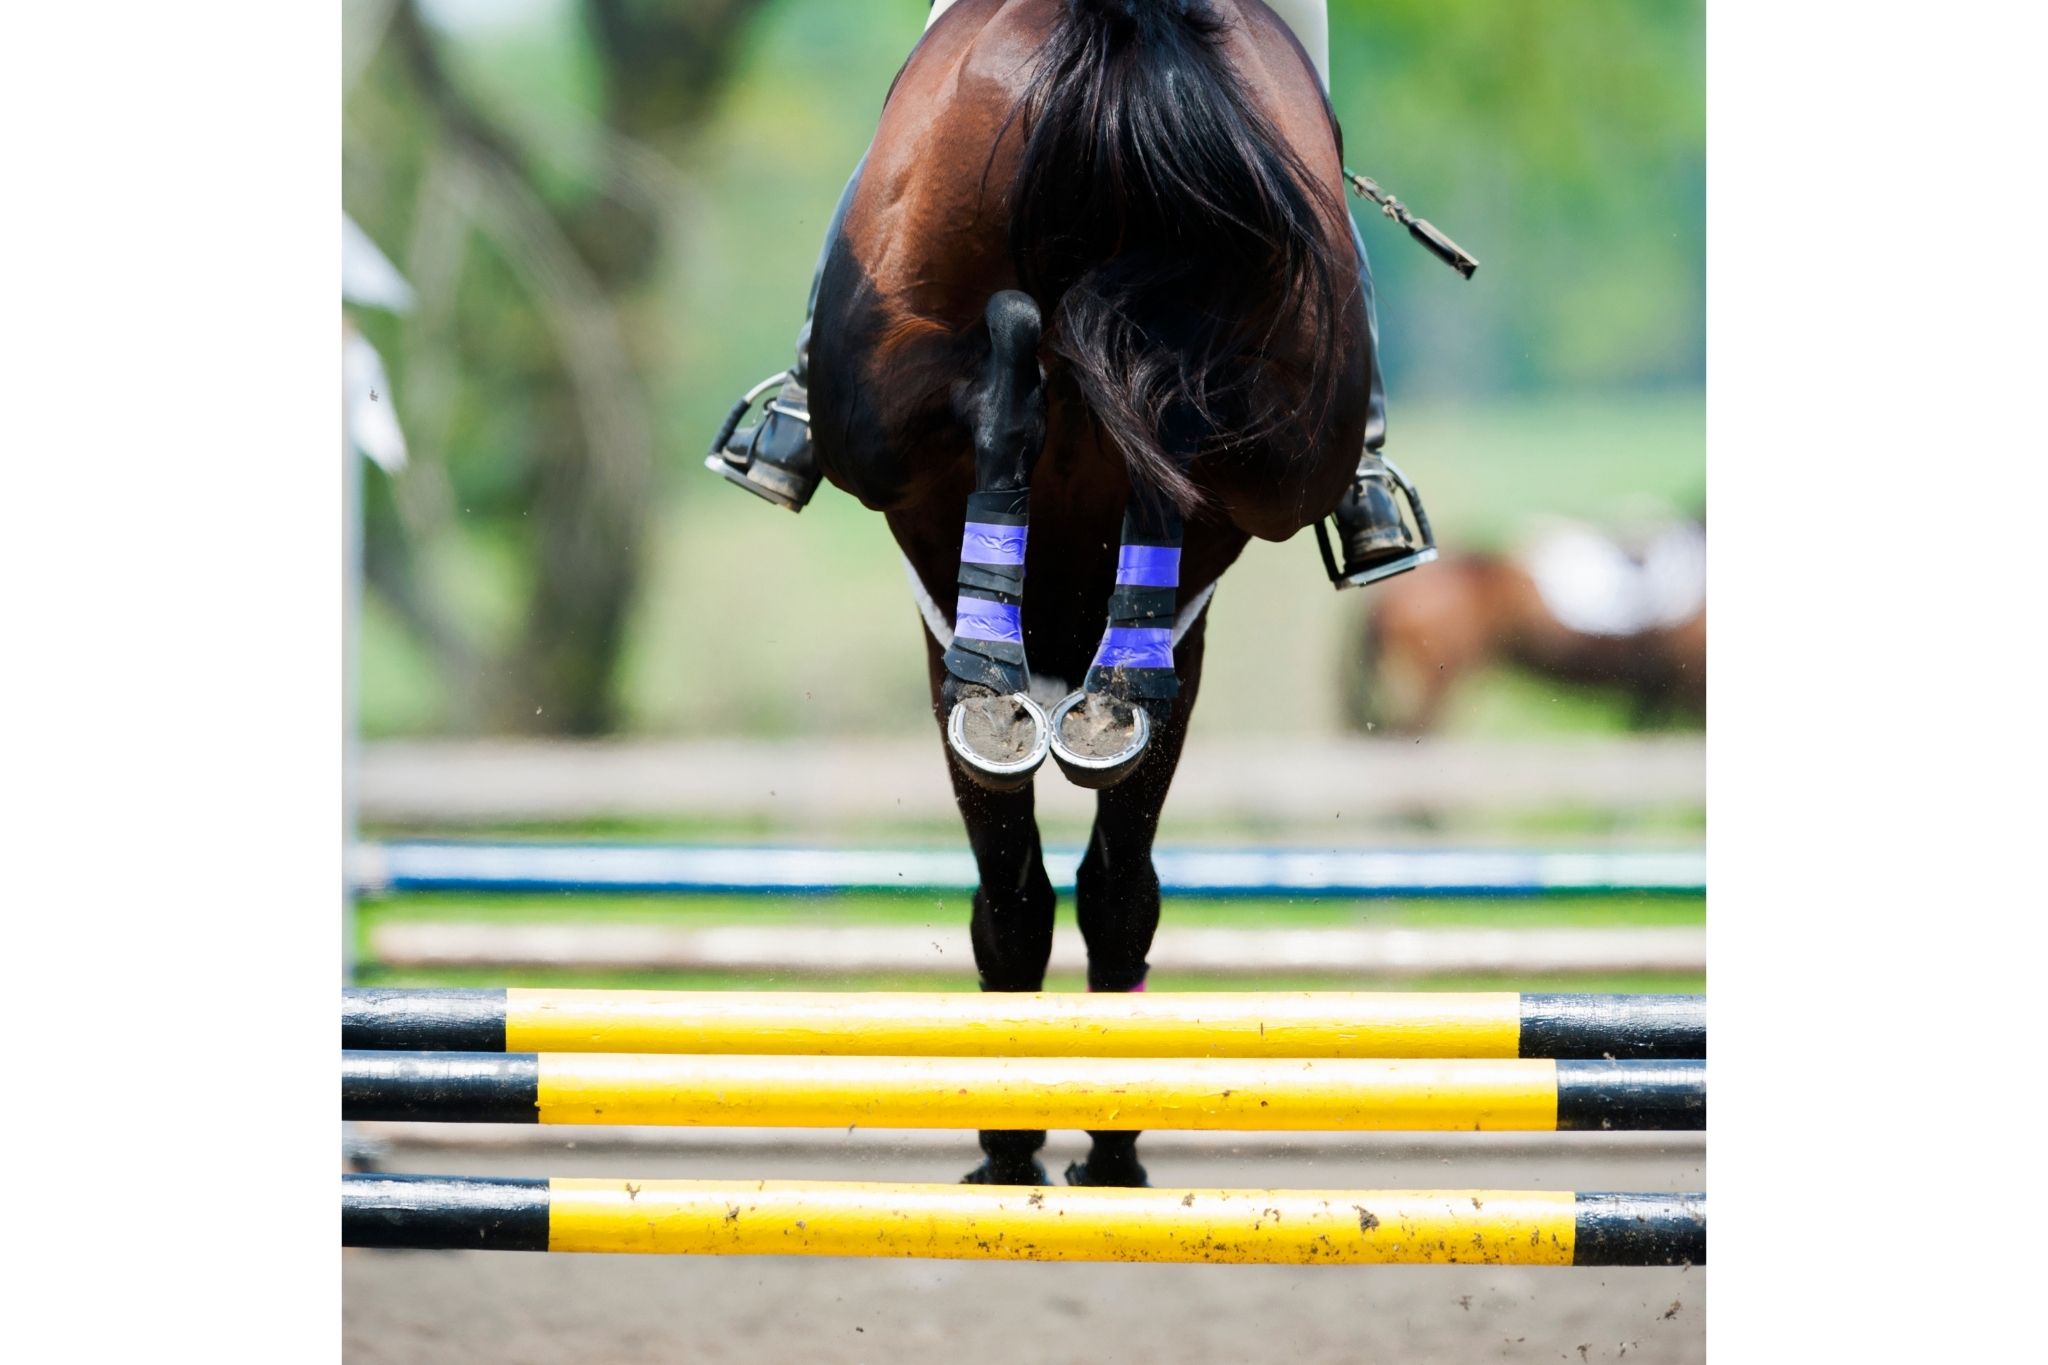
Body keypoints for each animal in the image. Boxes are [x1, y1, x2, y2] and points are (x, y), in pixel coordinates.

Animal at [805, 0, 1367, 1186]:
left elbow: (1023, 894)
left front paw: (1031, 1145)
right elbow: (1094, 887)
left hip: (884, 414)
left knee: (1029, 369)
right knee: (1154, 389)